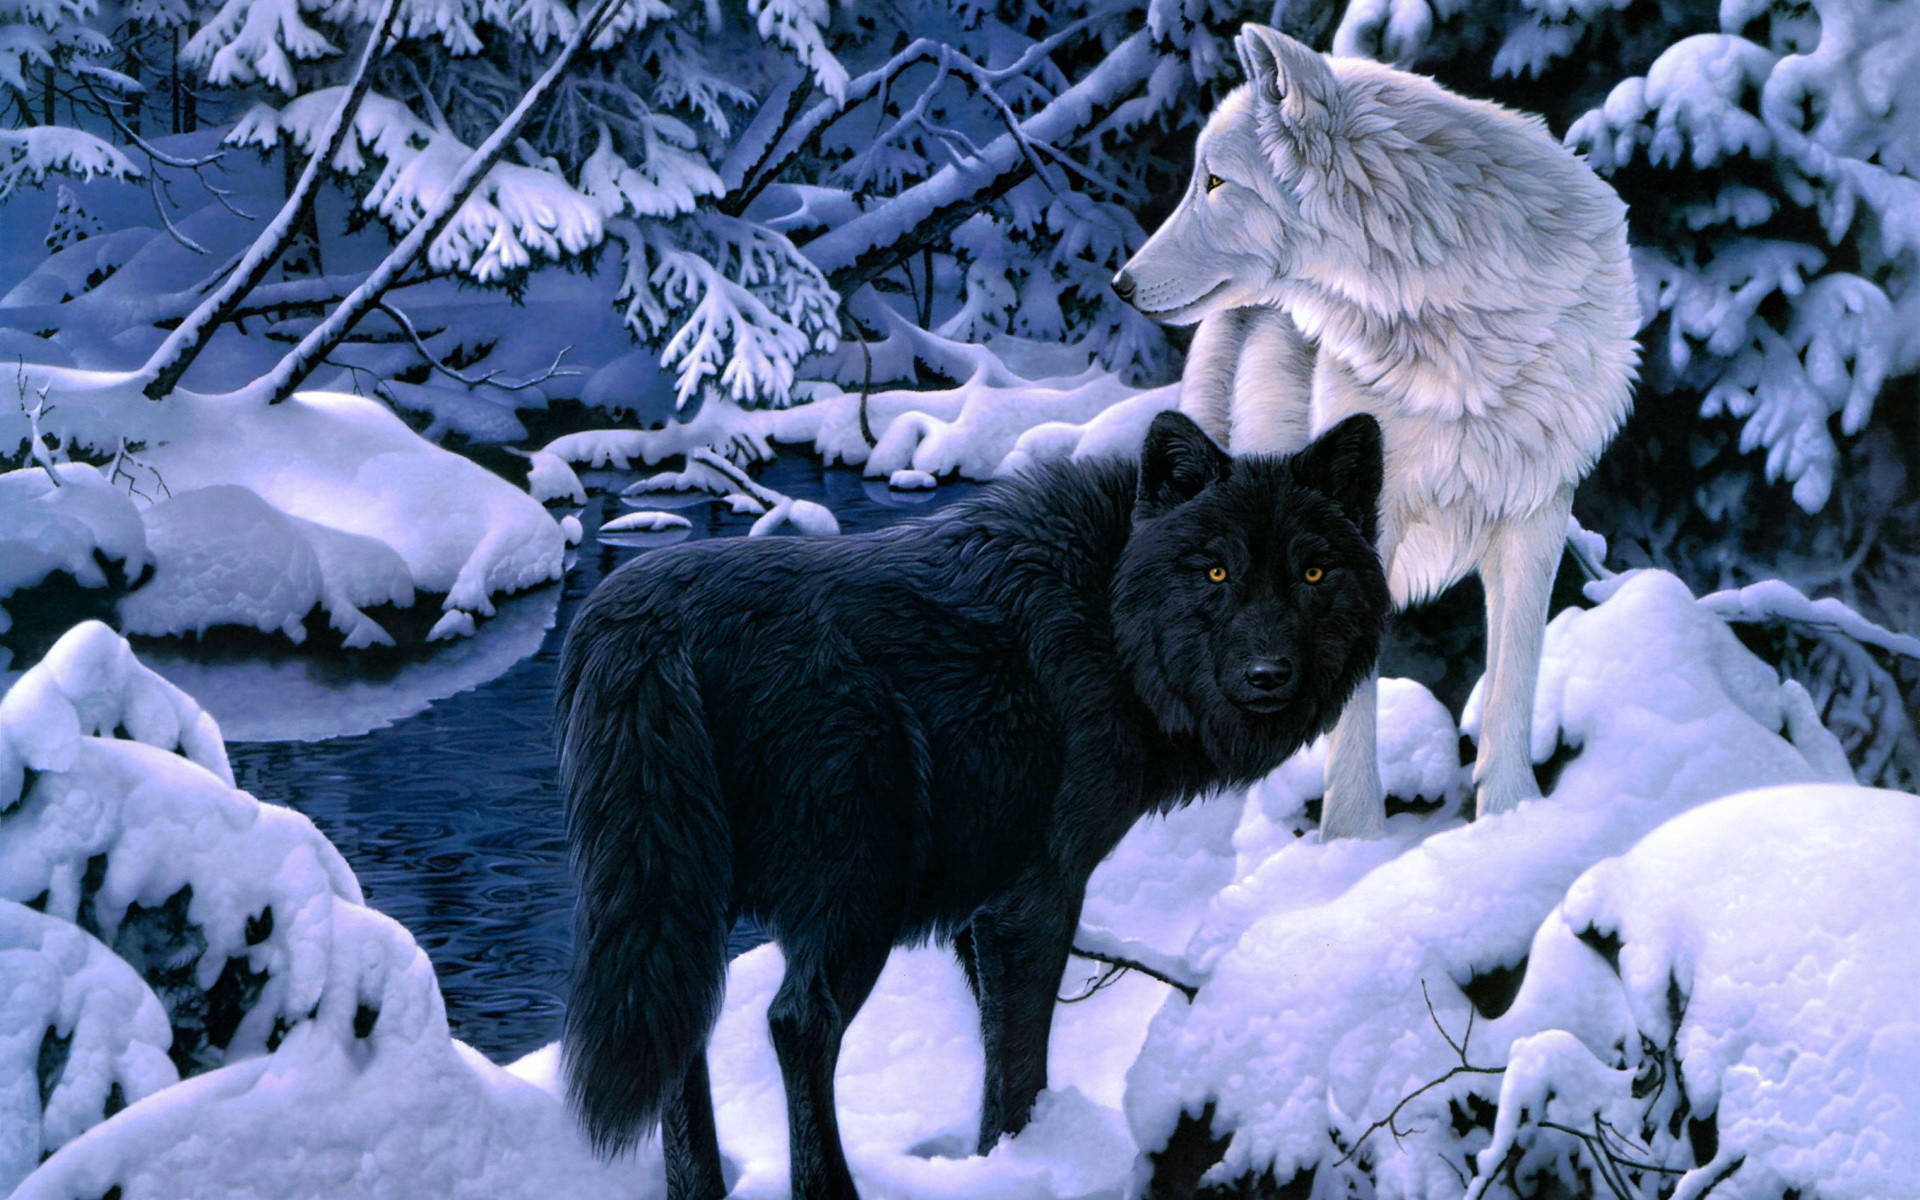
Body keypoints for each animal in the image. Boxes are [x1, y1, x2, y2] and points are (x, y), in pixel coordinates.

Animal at [556, 412, 1390, 1199]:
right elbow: (1019, 1062)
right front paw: (1024, 1166)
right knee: (796, 1023)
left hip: (681, 901)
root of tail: (646, 625)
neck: (1107, 617)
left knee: (684, 1031)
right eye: (1216, 572)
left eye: (1313, 572)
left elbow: (995, 1044)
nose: (1267, 675)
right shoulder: (1041, 890)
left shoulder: (980, 905)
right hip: (860, 891)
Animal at [1113, 24, 1639, 838]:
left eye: (1215, 182)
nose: (1122, 283)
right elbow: (1351, 710)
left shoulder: (1538, 514)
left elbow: (1513, 680)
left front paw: (1512, 823)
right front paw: (1352, 843)